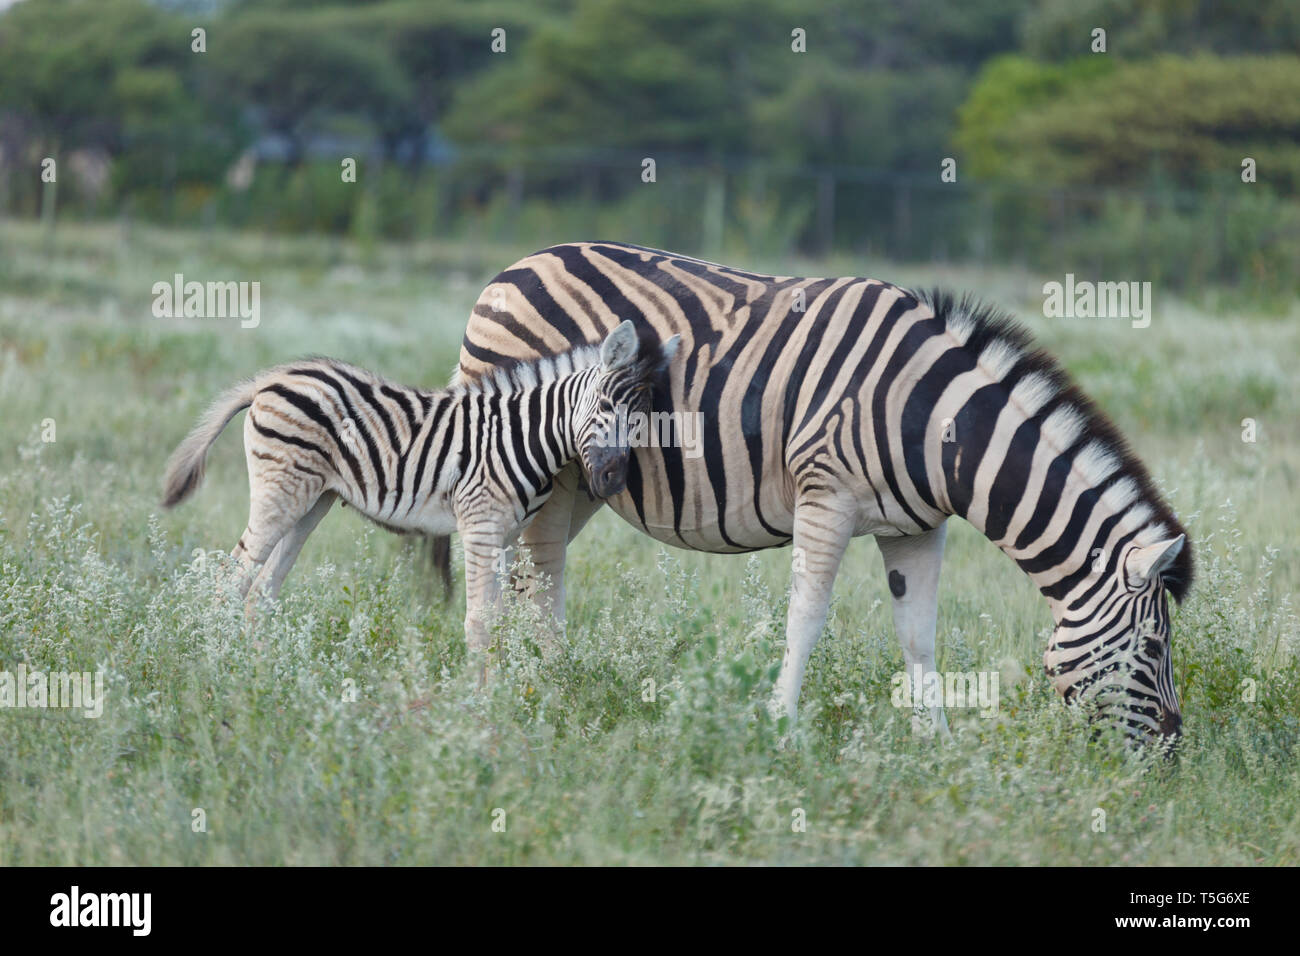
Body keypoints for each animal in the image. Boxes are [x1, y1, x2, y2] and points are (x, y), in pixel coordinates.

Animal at [160, 319, 679, 655]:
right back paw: (218, 666)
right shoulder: (480, 526)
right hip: (280, 492)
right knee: (230, 583)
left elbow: (501, 618)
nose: (613, 479)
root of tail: (275, 377)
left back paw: (262, 675)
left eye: (645, 417)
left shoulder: (506, 536)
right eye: (607, 406)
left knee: (261, 594)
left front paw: (509, 694)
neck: (523, 436)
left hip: (313, 501)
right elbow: (479, 622)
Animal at [441, 241, 1194, 741]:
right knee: (510, 566)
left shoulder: (917, 526)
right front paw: (783, 729)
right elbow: (806, 614)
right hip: (528, 461)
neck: (937, 424)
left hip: (576, 478)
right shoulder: (824, 493)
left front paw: (937, 744)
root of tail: (514, 267)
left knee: (536, 571)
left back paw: (549, 684)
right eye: (1155, 648)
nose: (1172, 749)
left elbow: (918, 632)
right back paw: (517, 689)